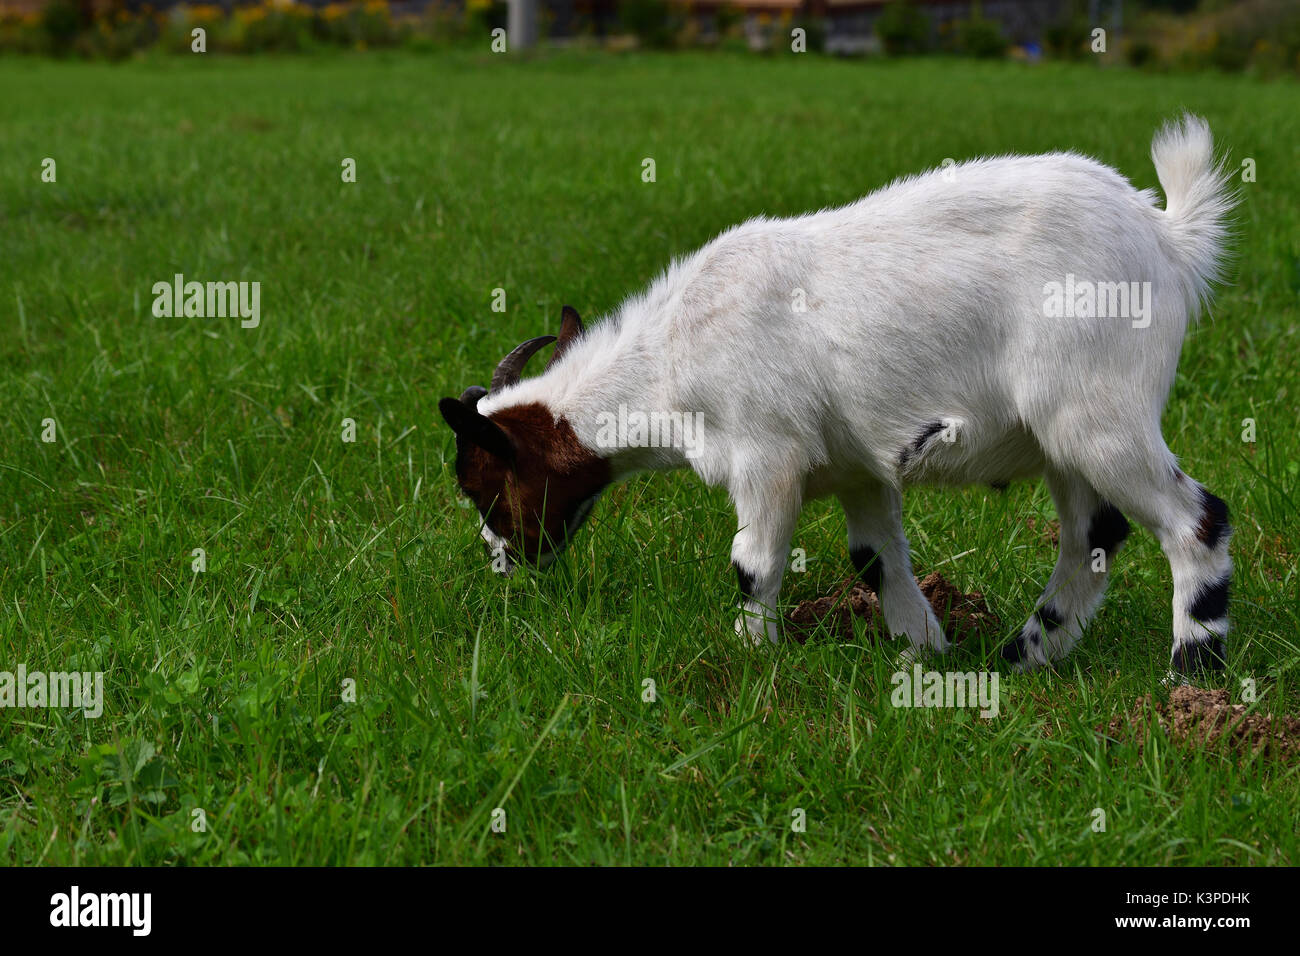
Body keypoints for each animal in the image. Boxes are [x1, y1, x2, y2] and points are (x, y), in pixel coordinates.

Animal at [439, 115, 1237, 676]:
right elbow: (875, 558)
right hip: (1064, 436)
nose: (498, 561)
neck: (671, 355)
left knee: (1195, 521)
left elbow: (753, 563)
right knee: (1092, 536)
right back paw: (1024, 655)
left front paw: (751, 659)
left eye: (480, 482)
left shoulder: (766, 456)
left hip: (1099, 413)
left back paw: (1190, 672)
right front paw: (923, 654)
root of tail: (1167, 235)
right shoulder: (858, 468)